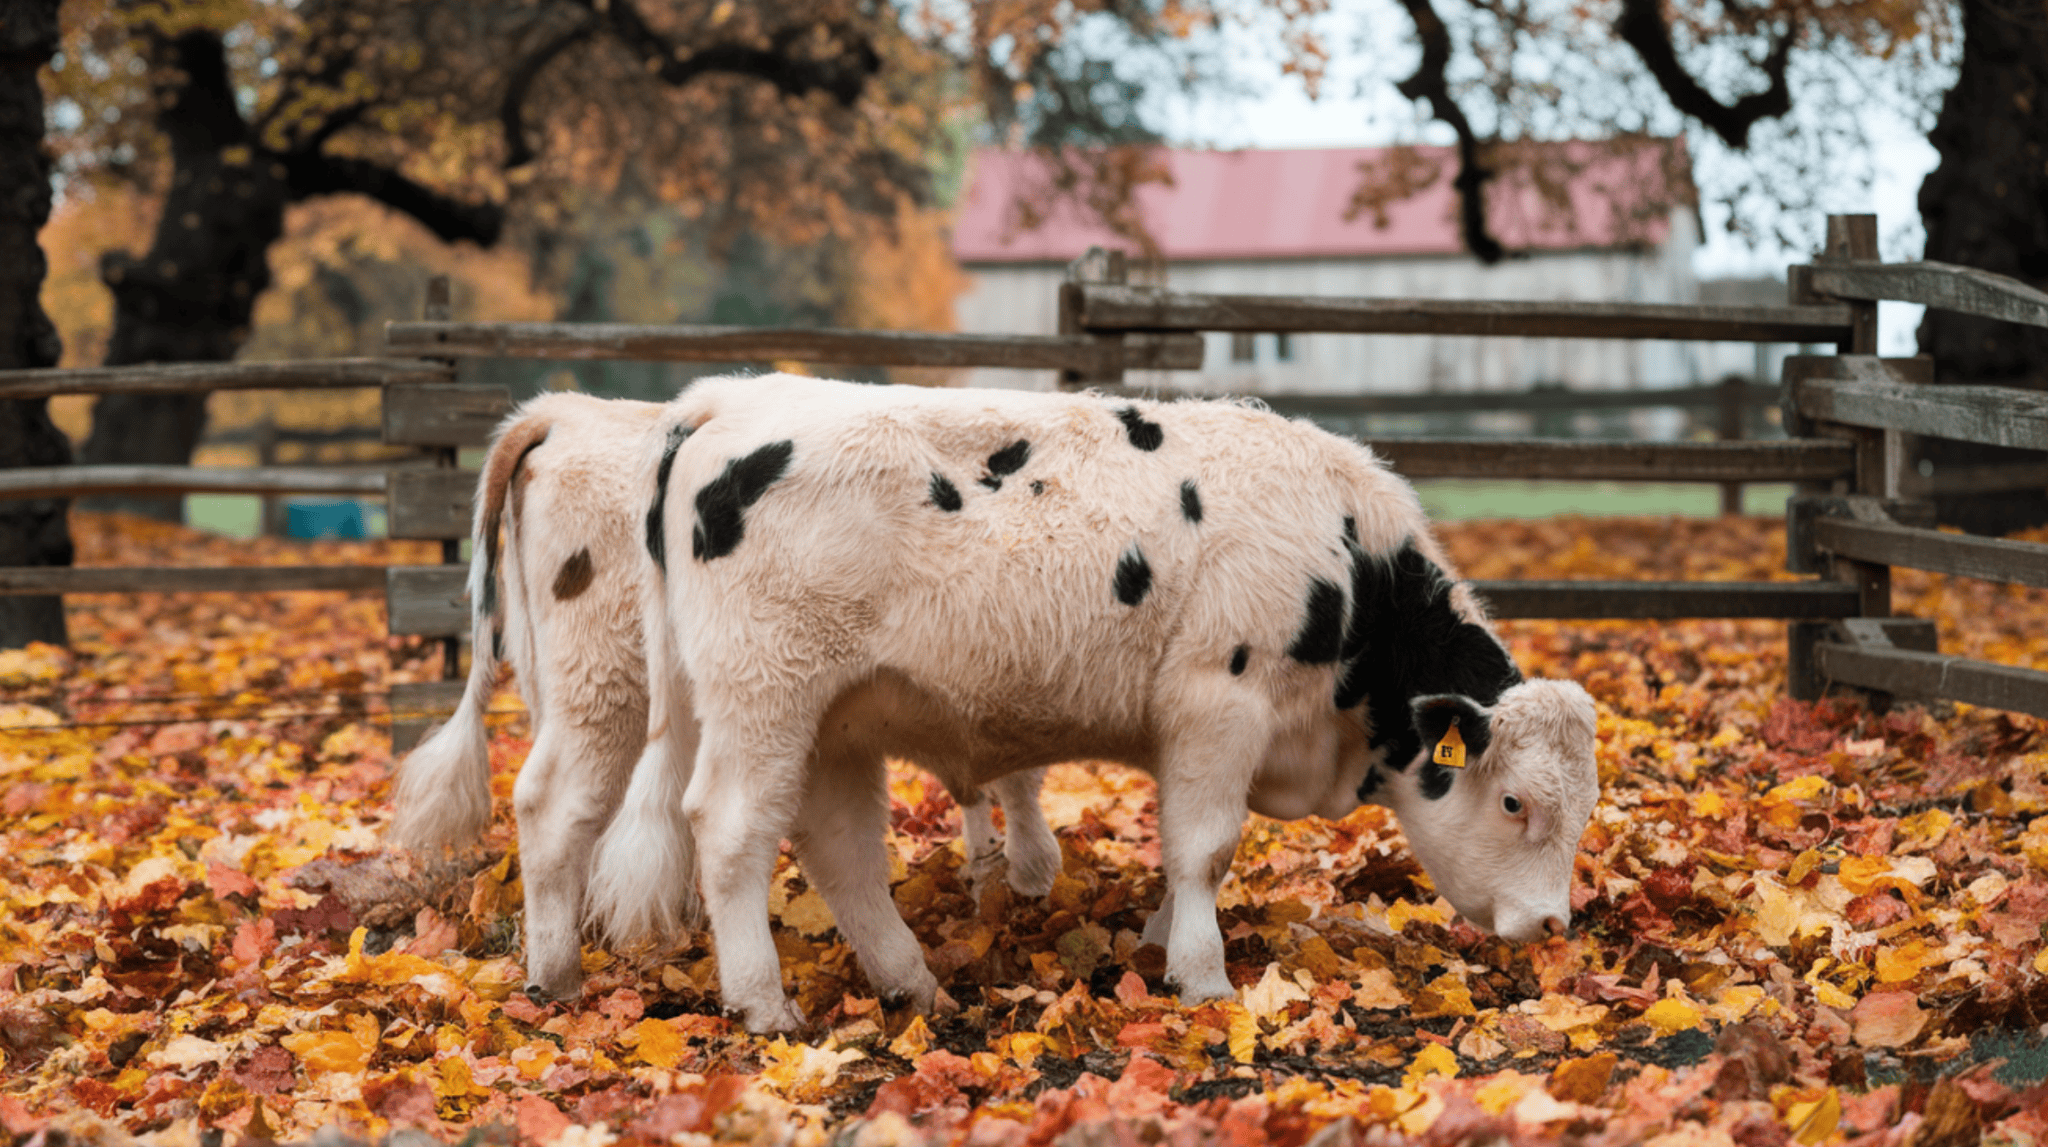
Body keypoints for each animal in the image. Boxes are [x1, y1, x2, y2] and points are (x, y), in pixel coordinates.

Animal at [384, 392, 1058, 1002]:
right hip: (610, 681)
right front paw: (1028, 873)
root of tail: (564, 409)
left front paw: (994, 869)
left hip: (556, 679)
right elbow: (1016, 779)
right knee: (563, 805)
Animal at [604, 373, 1600, 1033]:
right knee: (732, 828)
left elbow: (1190, 853)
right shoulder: (1219, 703)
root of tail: (730, 396)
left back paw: (911, 984)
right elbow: (1208, 848)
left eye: (1586, 810)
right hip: (764, 693)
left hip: (835, 716)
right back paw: (763, 1002)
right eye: (1516, 801)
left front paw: (1160, 940)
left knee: (840, 847)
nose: (1552, 924)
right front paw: (1202, 974)